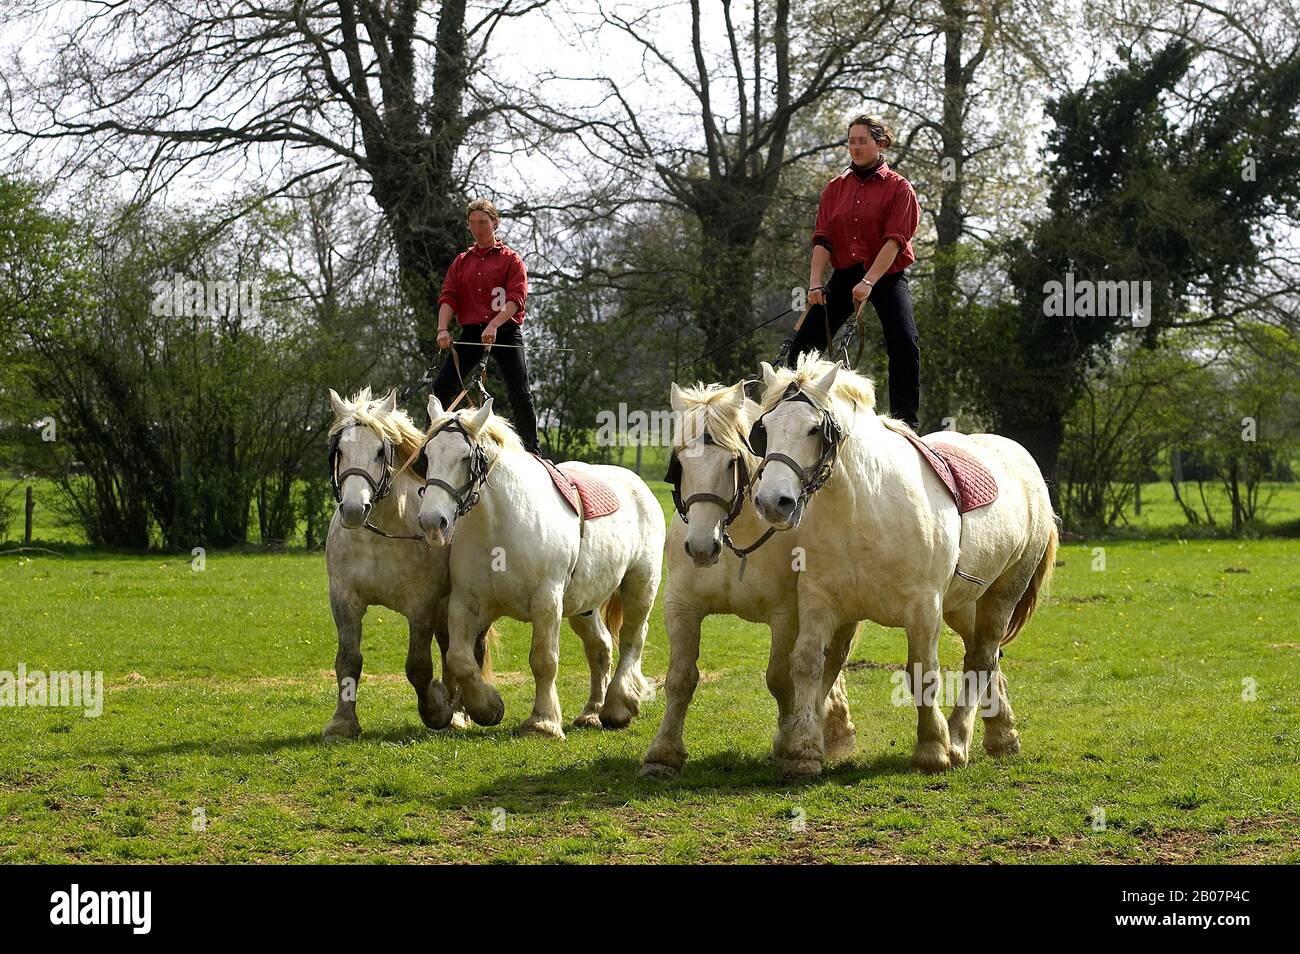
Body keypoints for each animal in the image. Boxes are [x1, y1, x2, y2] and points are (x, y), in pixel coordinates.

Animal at [323, 386, 493, 739]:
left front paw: (437, 711)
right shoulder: (344, 599)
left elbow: (418, 665)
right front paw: (343, 722)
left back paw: (460, 711)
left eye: (379, 451)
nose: (354, 509)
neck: (381, 536)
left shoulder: (421, 606)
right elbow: (348, 658)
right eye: (340, 451)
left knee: (470, 649)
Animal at [414, 394, 663, 737]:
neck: (499, 526)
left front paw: (542, 721)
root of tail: (639, 486)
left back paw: (618, 706)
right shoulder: (465, 602)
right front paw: (487, 707)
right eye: (426, 457)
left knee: (631, 638)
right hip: (584, 605)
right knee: (600, 647)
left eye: (466, 458)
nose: (431, 521)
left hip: (640, 586)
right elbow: (460, 658)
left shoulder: (547, 602)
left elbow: (544, 660)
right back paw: (592, 711)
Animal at [640, 379, 861, 779]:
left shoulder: (786, 615)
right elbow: (680, 678)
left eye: (731, 461)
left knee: (831, 662)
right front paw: (662, 754)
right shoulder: (680, 607)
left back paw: (830, 730)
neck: (735, 540)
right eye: (680, 462)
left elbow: (780, 679)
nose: (701, 546)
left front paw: (789, 744)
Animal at [748, 353, 1058, 776]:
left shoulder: (923, 607)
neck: (862, 507)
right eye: (765, 429)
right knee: (986, 653)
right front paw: (802, 751)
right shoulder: (819, 601)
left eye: (814, 430)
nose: (772, 501)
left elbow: (922, 672)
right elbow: (808, 664)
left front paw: (932, 748)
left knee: (981, 656)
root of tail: (1024, 462)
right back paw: (1002, 735)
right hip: (963, 603)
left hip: (1003, 591)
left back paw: (958, 739)